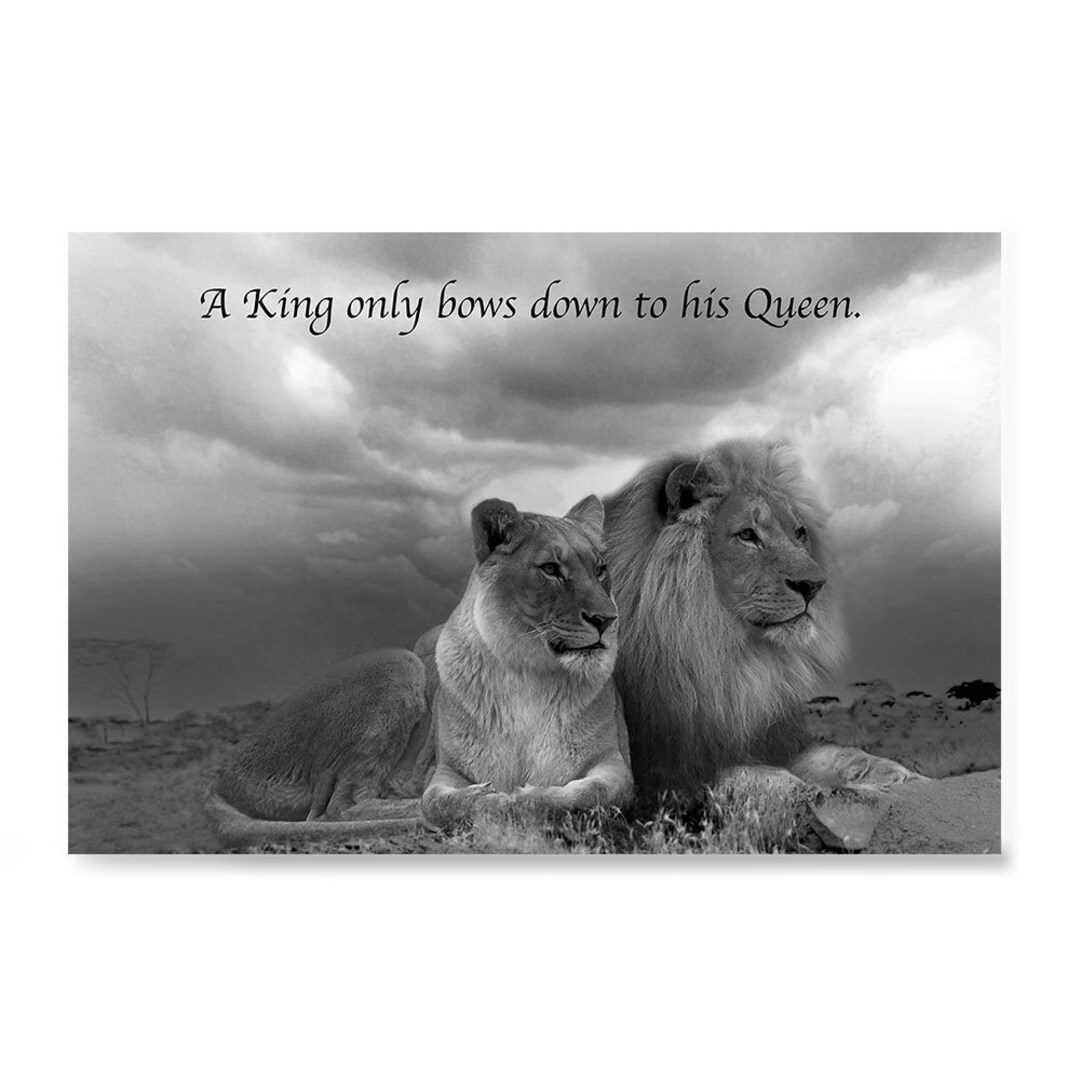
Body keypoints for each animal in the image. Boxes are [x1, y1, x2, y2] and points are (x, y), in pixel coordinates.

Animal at [204, 495, 633, 848]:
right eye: (550, 569)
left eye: (601, 569)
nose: (607, 619)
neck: (529, 672)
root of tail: (224, 775)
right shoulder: (447, 769)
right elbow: (438, 800)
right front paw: (484, 800)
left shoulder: (615, 761)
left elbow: (597, 791)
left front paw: (526, 797)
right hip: (400, 662)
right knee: (339, 806)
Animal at [601, 437, 923, 797]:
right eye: (747, 535)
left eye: (799, 532)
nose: (814, 585)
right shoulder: (662, 772)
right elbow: (745, 774)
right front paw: (803, 791)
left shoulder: (777, 740)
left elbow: (840, 755)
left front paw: (901, 777)